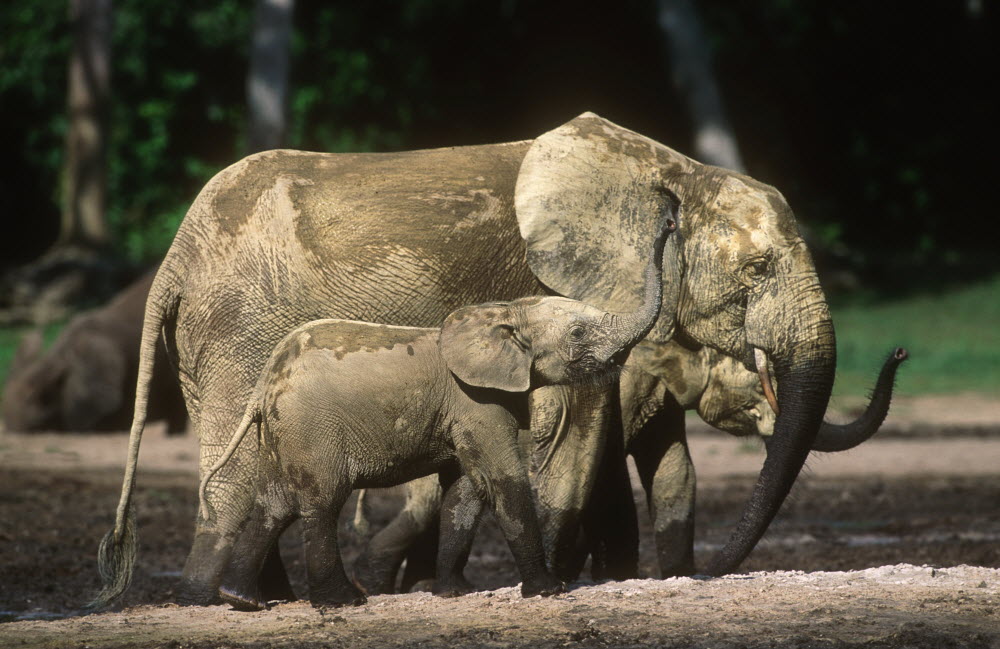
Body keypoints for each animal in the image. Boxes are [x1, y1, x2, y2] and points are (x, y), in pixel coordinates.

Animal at [192, 217, 674, 609]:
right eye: (578, 333)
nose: (669, 222)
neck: (505, 310)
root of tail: (264, 384)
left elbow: (465, 490)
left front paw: (452, 593)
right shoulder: (477, 402)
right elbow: (503, 480)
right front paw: (547, 591)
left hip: (281, 428)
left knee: (274, 502)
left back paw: (242, 600)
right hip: (311, 426)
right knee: (321, 501)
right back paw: (342, 602)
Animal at [352, 345, 909, 594]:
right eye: (762, 384)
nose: (900, 353)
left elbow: (674, 471)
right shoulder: (621, 386)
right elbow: (608, 477)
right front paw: (604, 576)